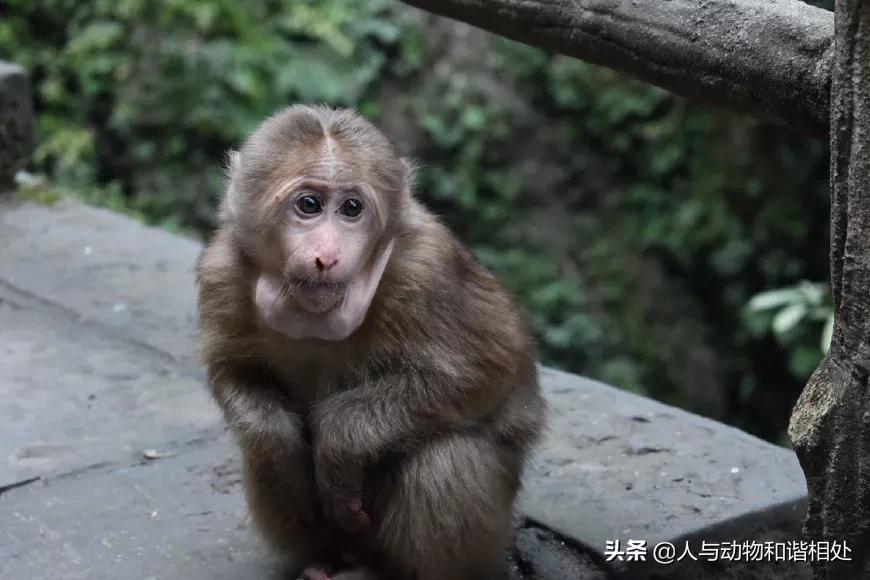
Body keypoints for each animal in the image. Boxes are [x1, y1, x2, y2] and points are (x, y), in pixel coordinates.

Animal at [196, 104, 545, 580]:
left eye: (352, 208)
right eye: (309, 205)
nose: (327, 256)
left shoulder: (429, 269)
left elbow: (487, 367)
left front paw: (337, 442)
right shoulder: (221, 271)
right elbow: (232, 374)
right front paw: (280, 446)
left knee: (443, 458)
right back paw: (321, 560)